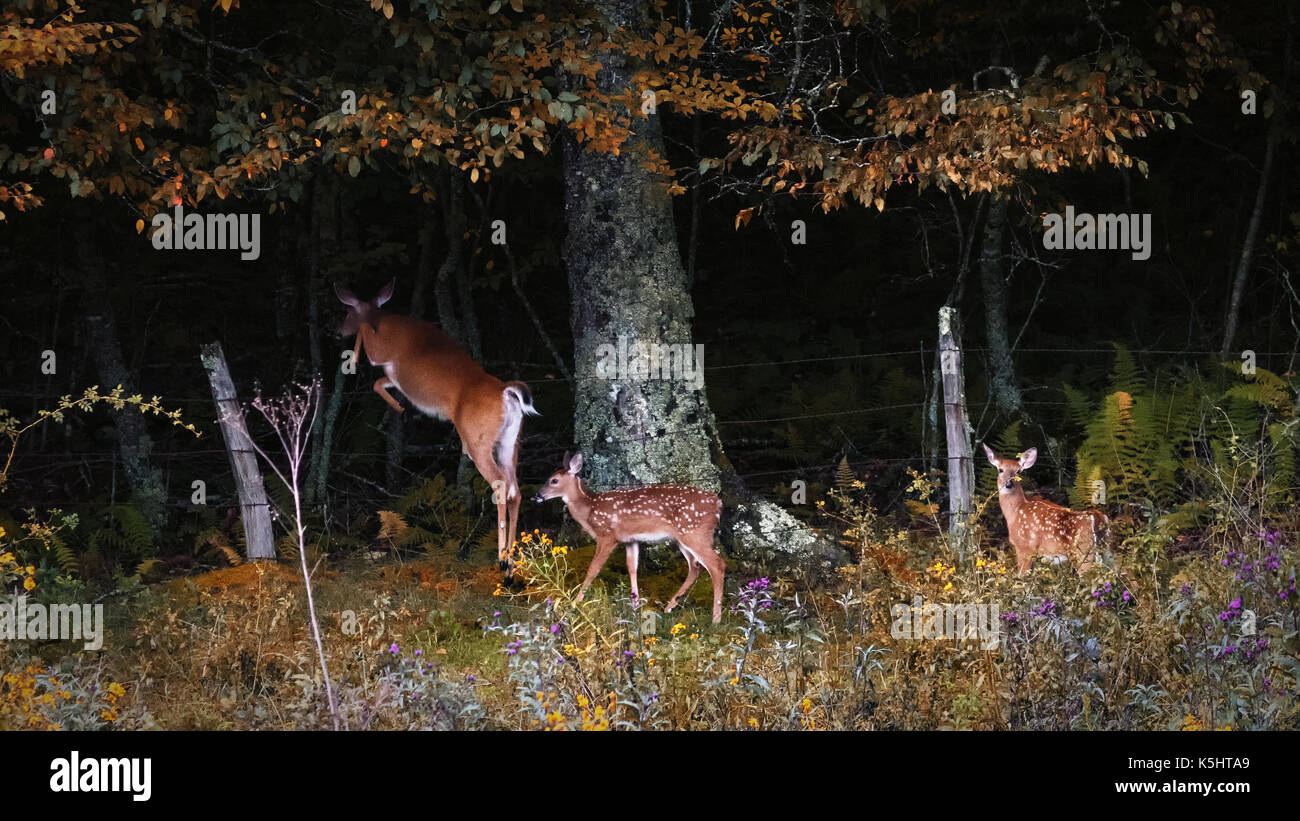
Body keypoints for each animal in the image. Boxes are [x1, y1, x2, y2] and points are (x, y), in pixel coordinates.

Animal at [335, 279, 538, 577]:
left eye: (347, 312)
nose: (338, 332)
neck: (382, 317)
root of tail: (506, 393)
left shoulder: (381, 351)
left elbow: (367, 347)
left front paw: (352, 360)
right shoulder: (394, 378)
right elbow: (379, 383)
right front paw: (400, 409)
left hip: (477, 440)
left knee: (501, 486)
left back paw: (502, 559)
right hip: (510, 442)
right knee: (516, 490)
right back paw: (512, 565)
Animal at [533, 452, 726, 623]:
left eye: (554, 480)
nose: (537, 496)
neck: (590, 509)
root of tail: (717, 503)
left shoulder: (607, 535)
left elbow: (593, 569)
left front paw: (574, 603)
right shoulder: (630, 540)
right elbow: (632, 568)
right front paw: (635, 608)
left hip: (694, 532)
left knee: (717, 565)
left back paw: (716, 619)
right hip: (683, 538)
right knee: (695, 567)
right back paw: (668, 607)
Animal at [982, 445, 1109, 575]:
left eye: (1018, 471)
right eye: (1000, 470)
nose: (1008, 484)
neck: (1016, 510)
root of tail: (1096, 516)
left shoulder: (1025, 547)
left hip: (1083, 553)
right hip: (1105, 550)